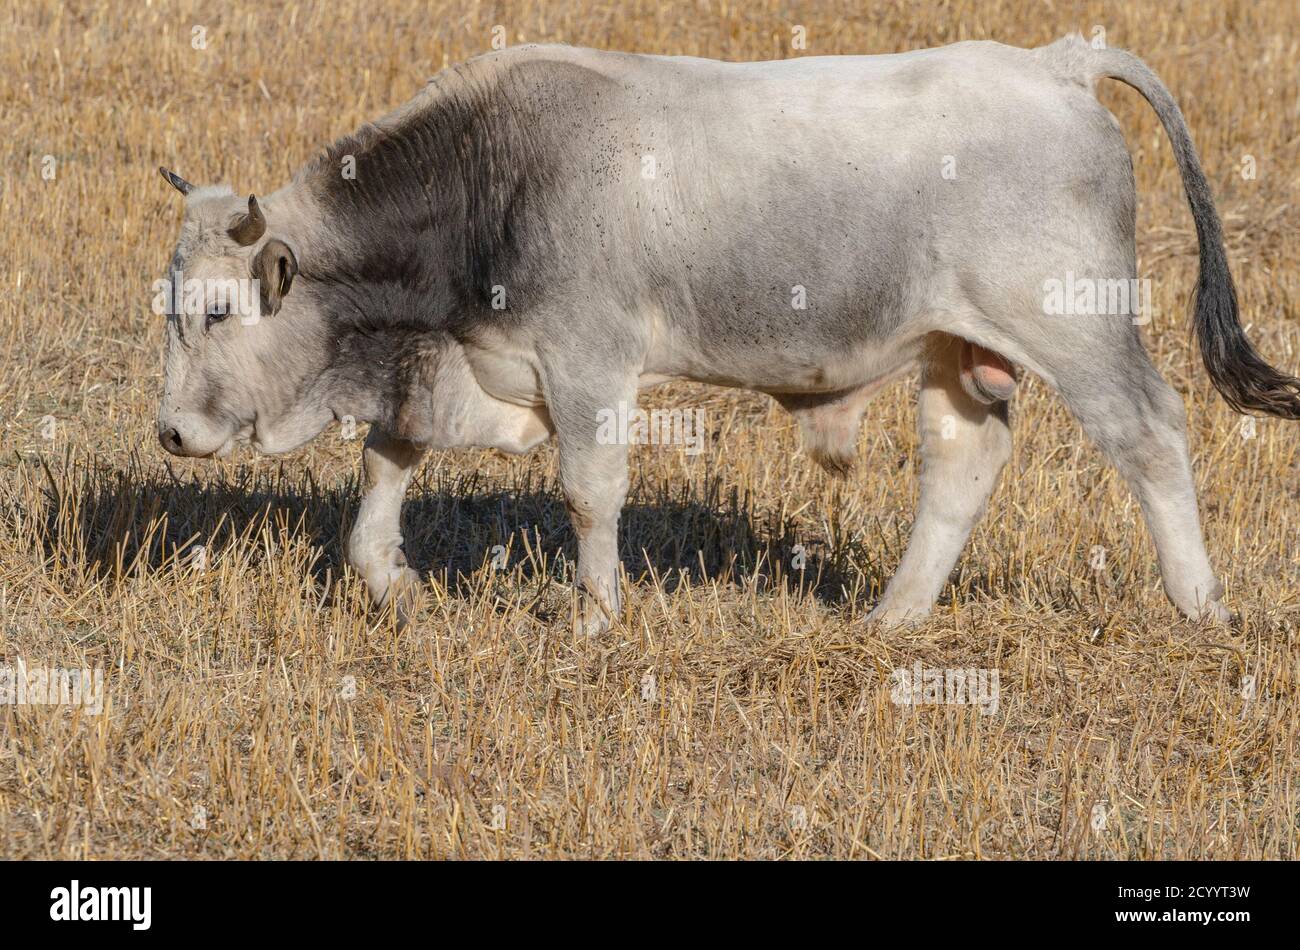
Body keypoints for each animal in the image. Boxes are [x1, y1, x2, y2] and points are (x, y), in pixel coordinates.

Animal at [156, 35, 1300, 634]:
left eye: (216, 311)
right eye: (167, 306)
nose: (169, 433)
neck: (493, 173)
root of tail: (1058, 60)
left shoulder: (588, 364)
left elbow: (590, 491)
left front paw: (595, 615)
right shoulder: (457, 365)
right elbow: (387, 459)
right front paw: (390, 579)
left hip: (1076, 332)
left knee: (1151, 435)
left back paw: (1200, 605)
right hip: (953, 352)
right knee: (964, 464)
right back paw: (891, 618)